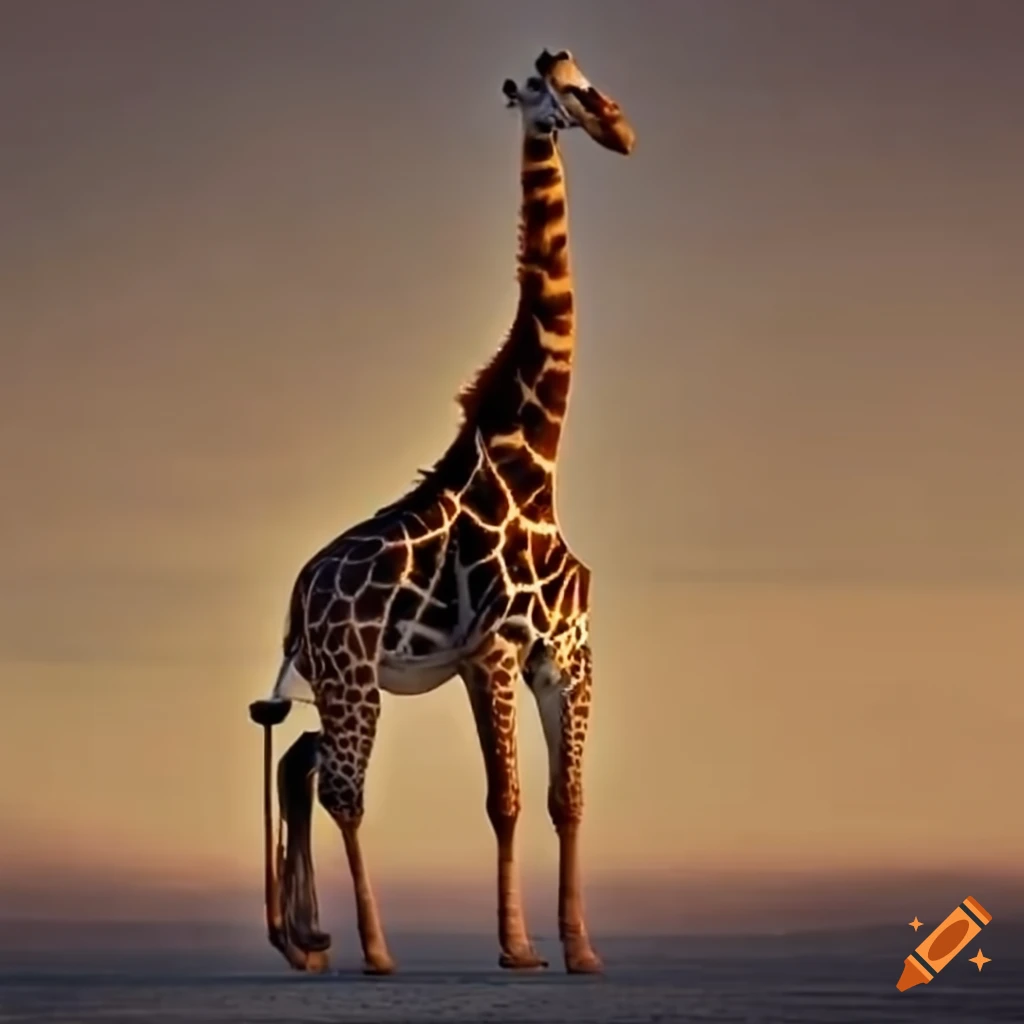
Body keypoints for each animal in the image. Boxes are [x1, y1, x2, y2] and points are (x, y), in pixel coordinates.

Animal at [248, 48, 635, 976]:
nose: (619, 130)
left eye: (591, 83)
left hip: (335, 681)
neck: (535, 468)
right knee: (341, 787)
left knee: (301, 762)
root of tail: (298, 596)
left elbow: (568, 797)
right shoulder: (492, 651)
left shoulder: (567, 653)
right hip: (353, 672)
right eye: (560, 92)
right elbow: (506, 798)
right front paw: (518, 949)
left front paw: (582, 951)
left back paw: (305, 943)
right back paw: (372, 951)